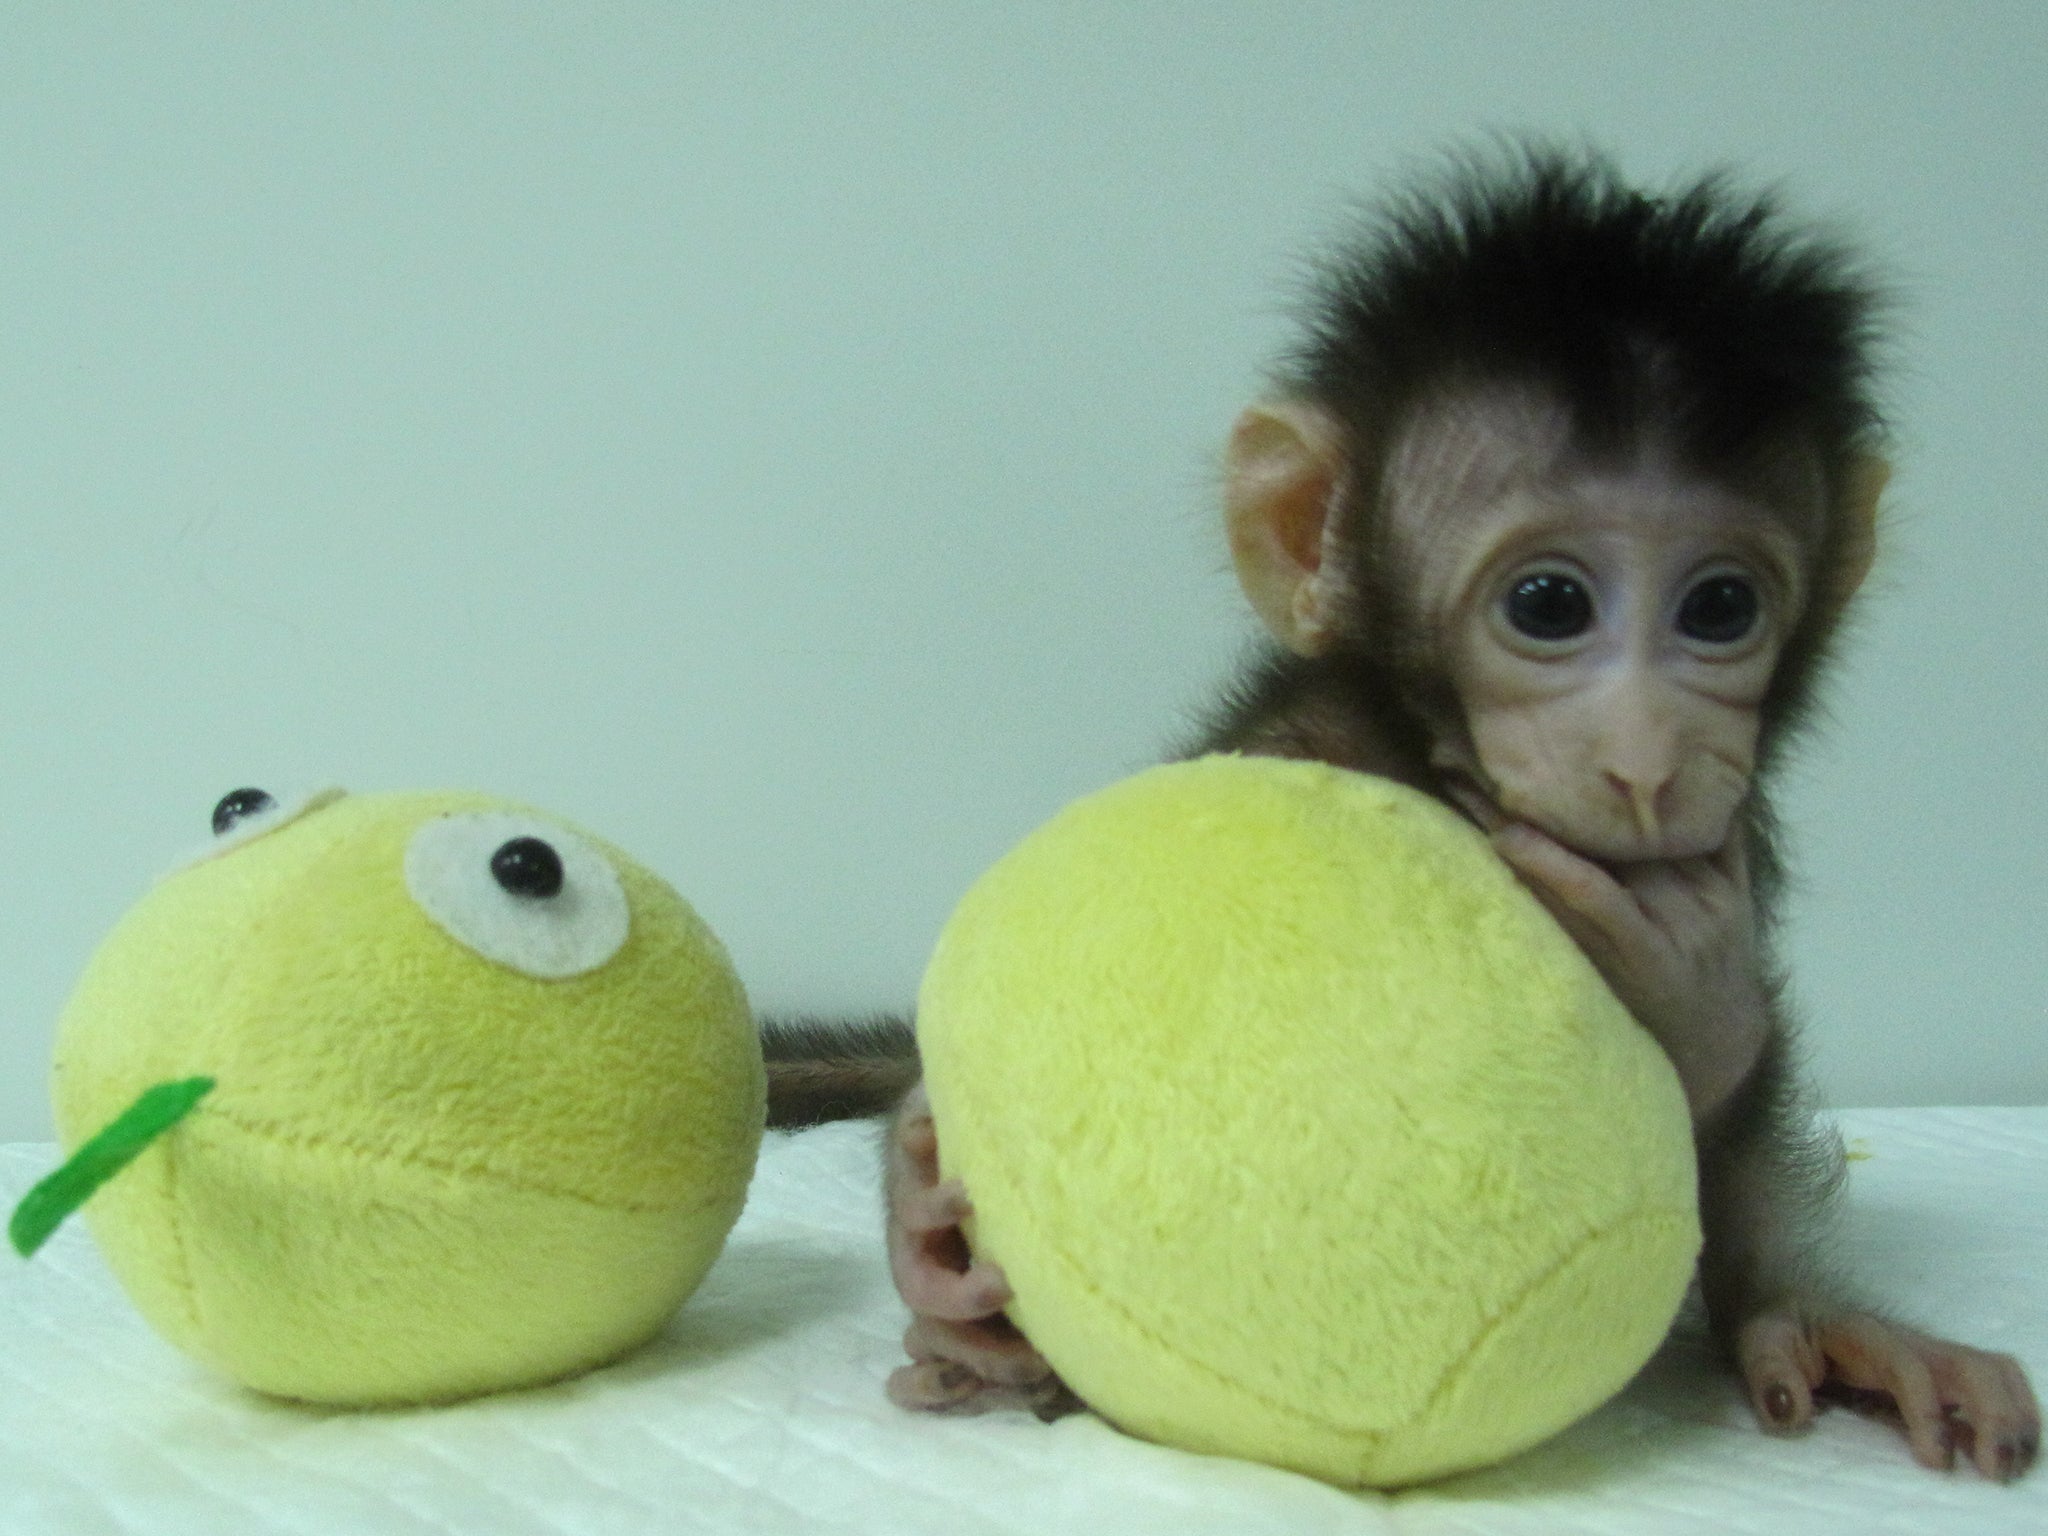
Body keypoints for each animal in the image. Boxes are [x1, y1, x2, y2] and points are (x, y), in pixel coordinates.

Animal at [763, 143, 2042, 1480]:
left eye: (1719, 609)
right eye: (1546, 603)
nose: (1646, 758)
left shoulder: (1742, 832)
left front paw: (1807, 1302)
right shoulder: (1290, 743)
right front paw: (926, 1226)